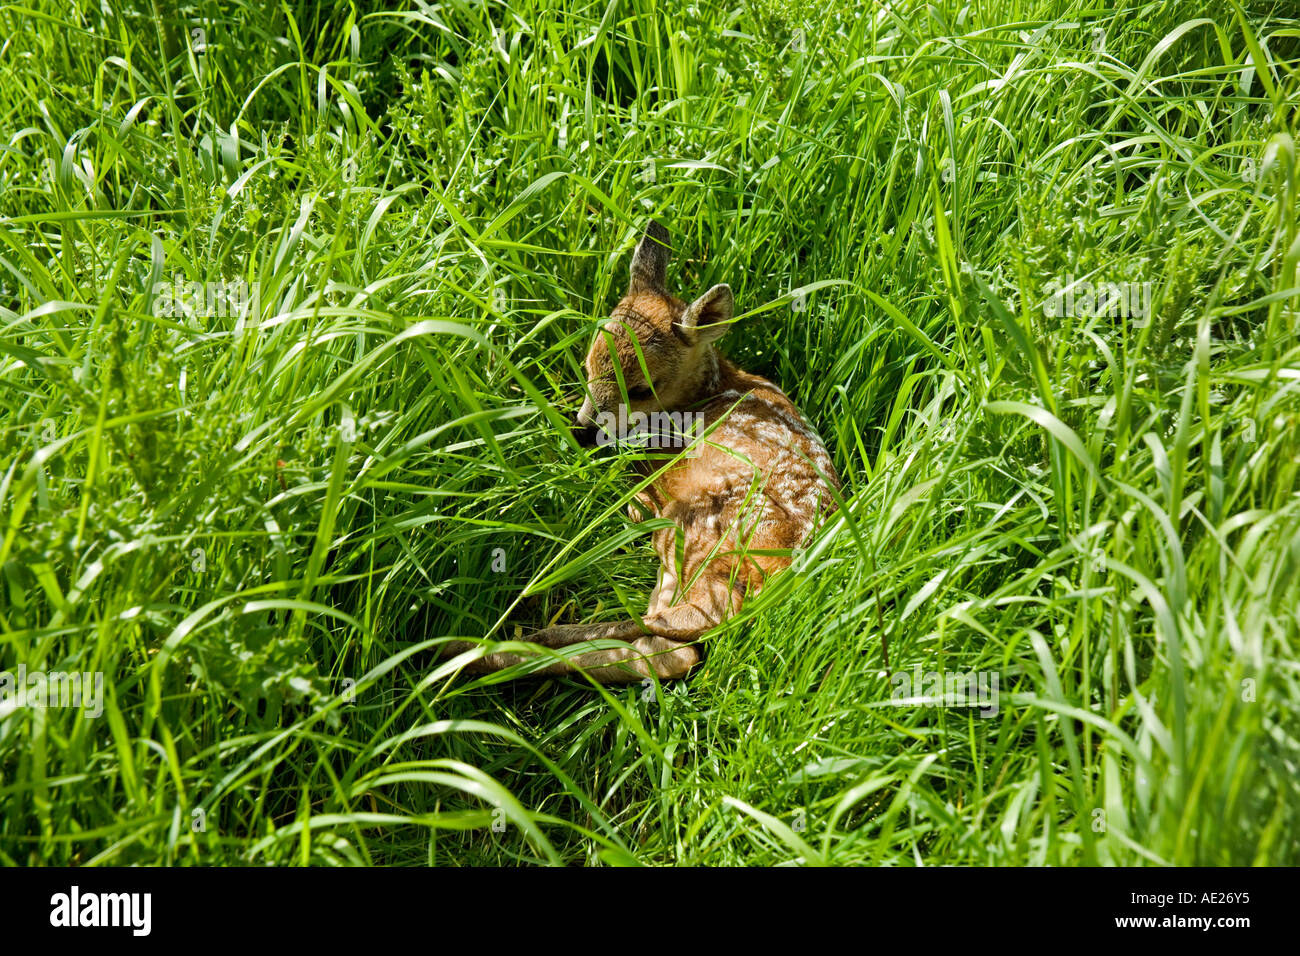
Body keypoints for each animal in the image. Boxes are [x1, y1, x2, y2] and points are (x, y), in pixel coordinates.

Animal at [440, 220, 840, 683]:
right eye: (587, 364)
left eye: (641, 388)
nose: (583, 429)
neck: (708, 391)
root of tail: (778, 572)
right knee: (674, 648)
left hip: (695, 524)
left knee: (687, 622)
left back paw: (476, 648)